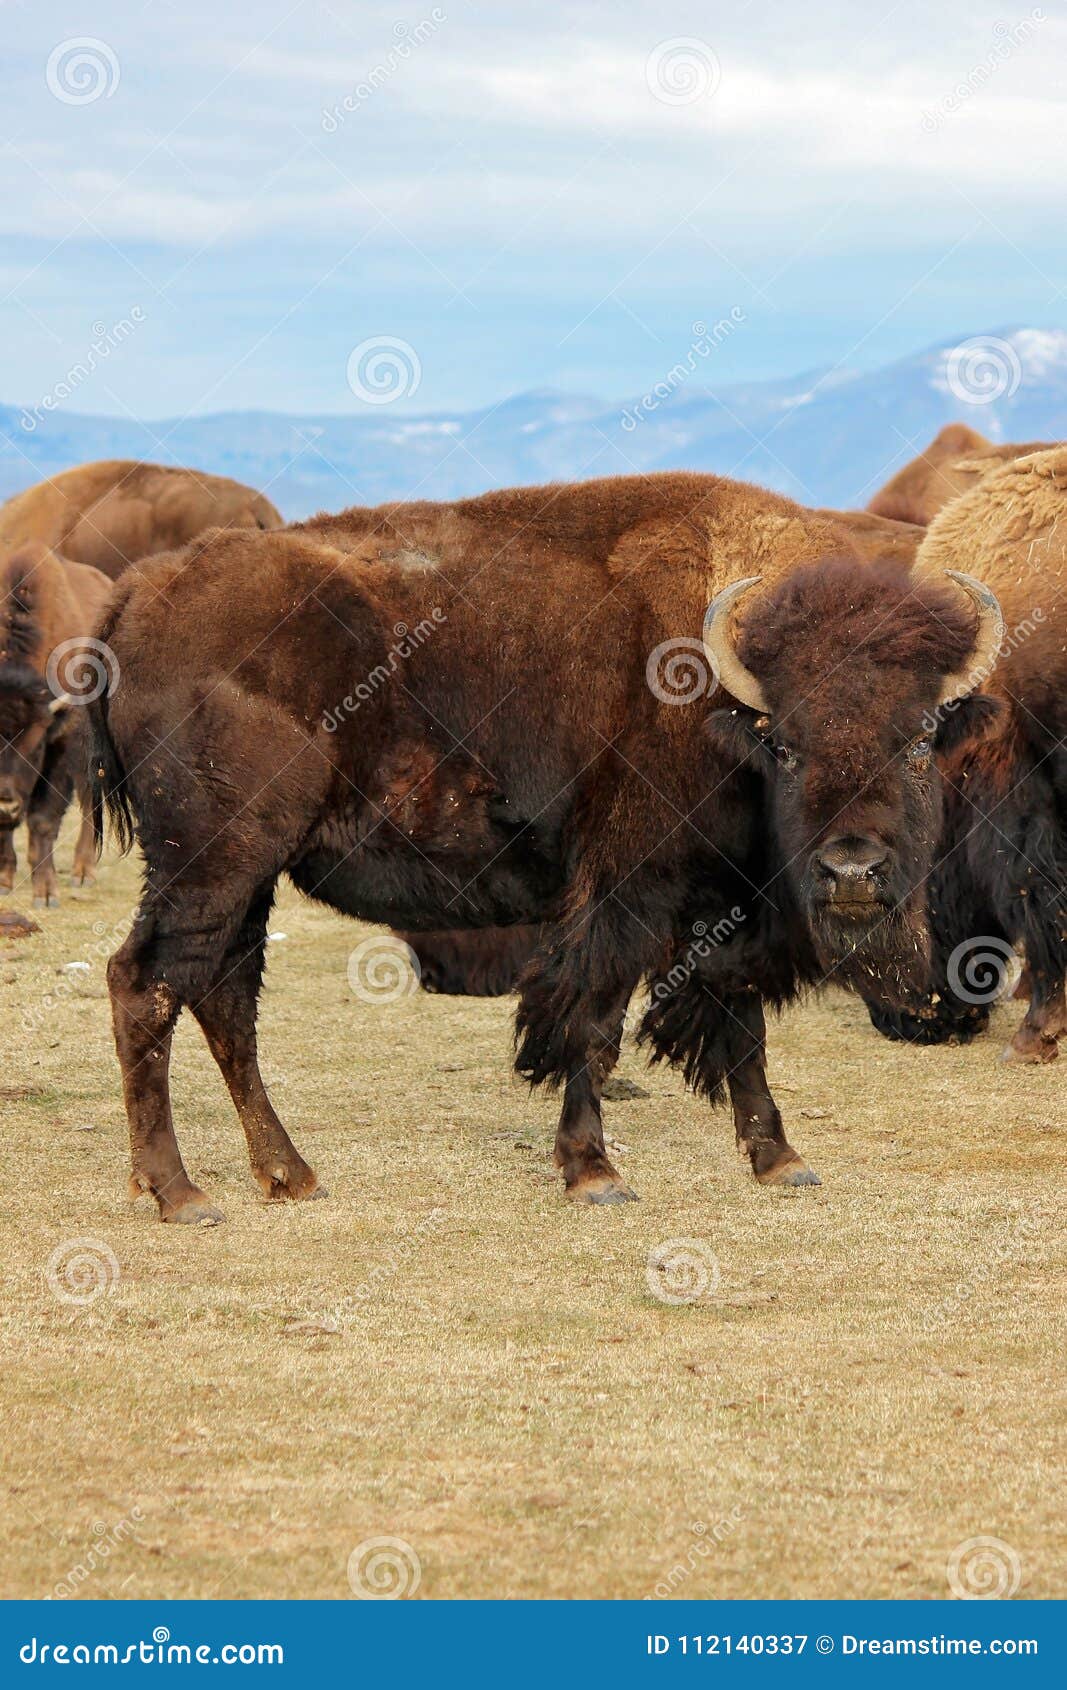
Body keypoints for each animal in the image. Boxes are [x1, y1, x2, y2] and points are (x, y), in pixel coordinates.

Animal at [89, 472, 1000, 1223]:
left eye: (920, 739)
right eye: (785, 745)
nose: (851, 871)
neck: (725, 707)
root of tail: (138, 595)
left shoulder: (717, 904)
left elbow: (740, 1029)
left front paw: (780, 1160)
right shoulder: (624, 892)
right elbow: (592, 1022)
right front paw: (594, 1173)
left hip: (247, 874)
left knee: (223, 995)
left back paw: (288, 1175)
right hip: (212, 861)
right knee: (147, 982)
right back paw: (179, 1193)